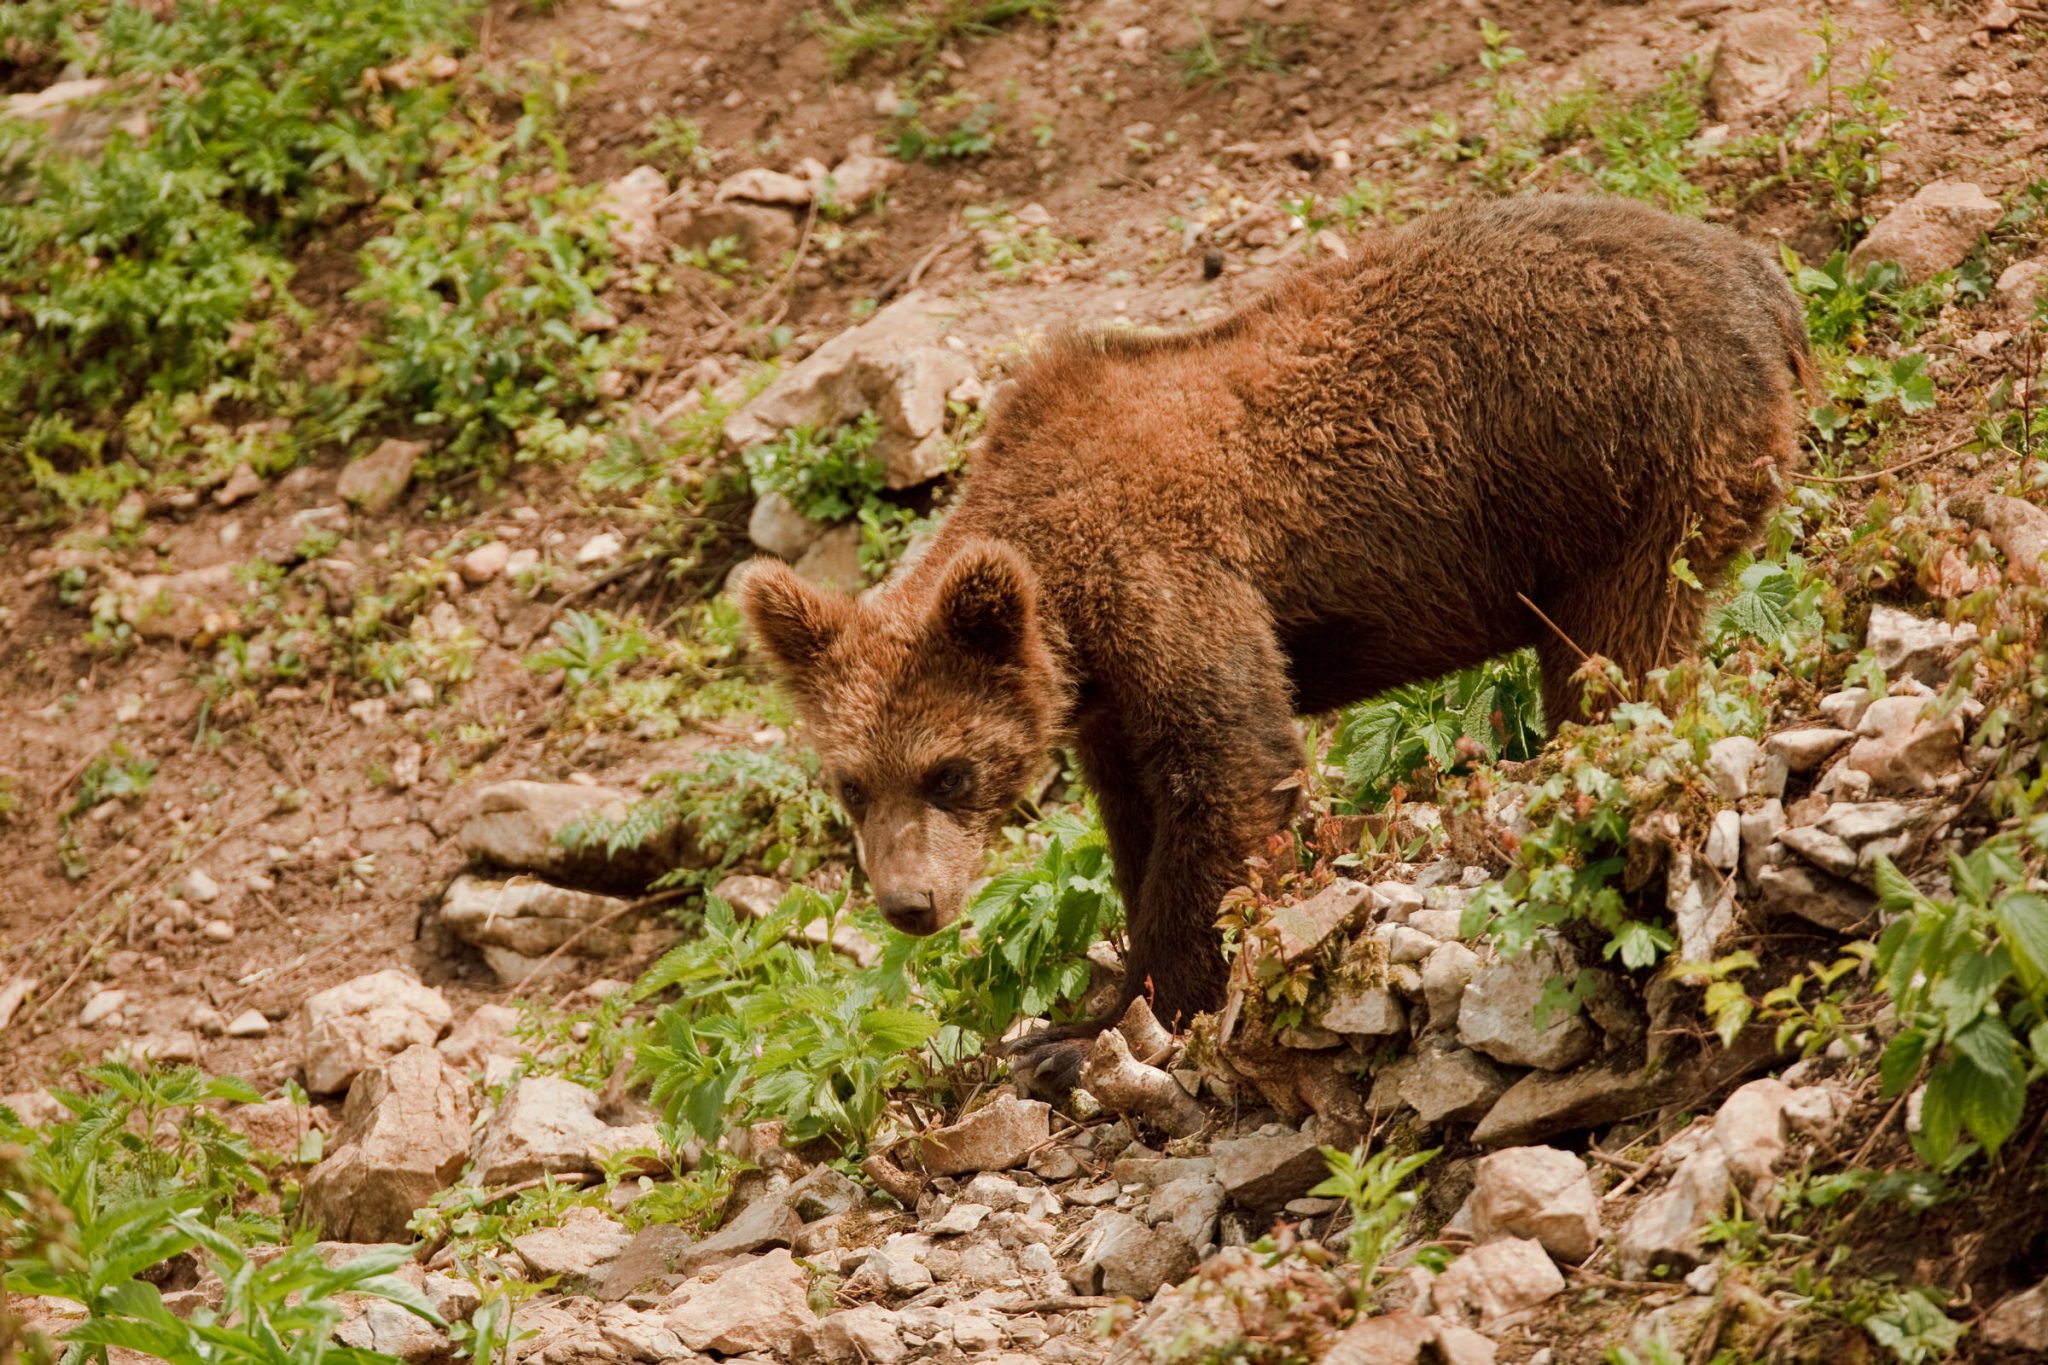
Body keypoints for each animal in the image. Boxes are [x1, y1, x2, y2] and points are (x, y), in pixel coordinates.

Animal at [736, 193, 1811, 1036]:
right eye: (851, 785)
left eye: (950, 770)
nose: (909, 902)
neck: (1065, 599)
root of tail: (1759, 270)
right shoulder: (1106, 697)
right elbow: (1137, 813)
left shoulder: (1169, 579)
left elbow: (1233, 767)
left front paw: (1114, 1017)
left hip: (1627, 463)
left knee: (1617, 653)